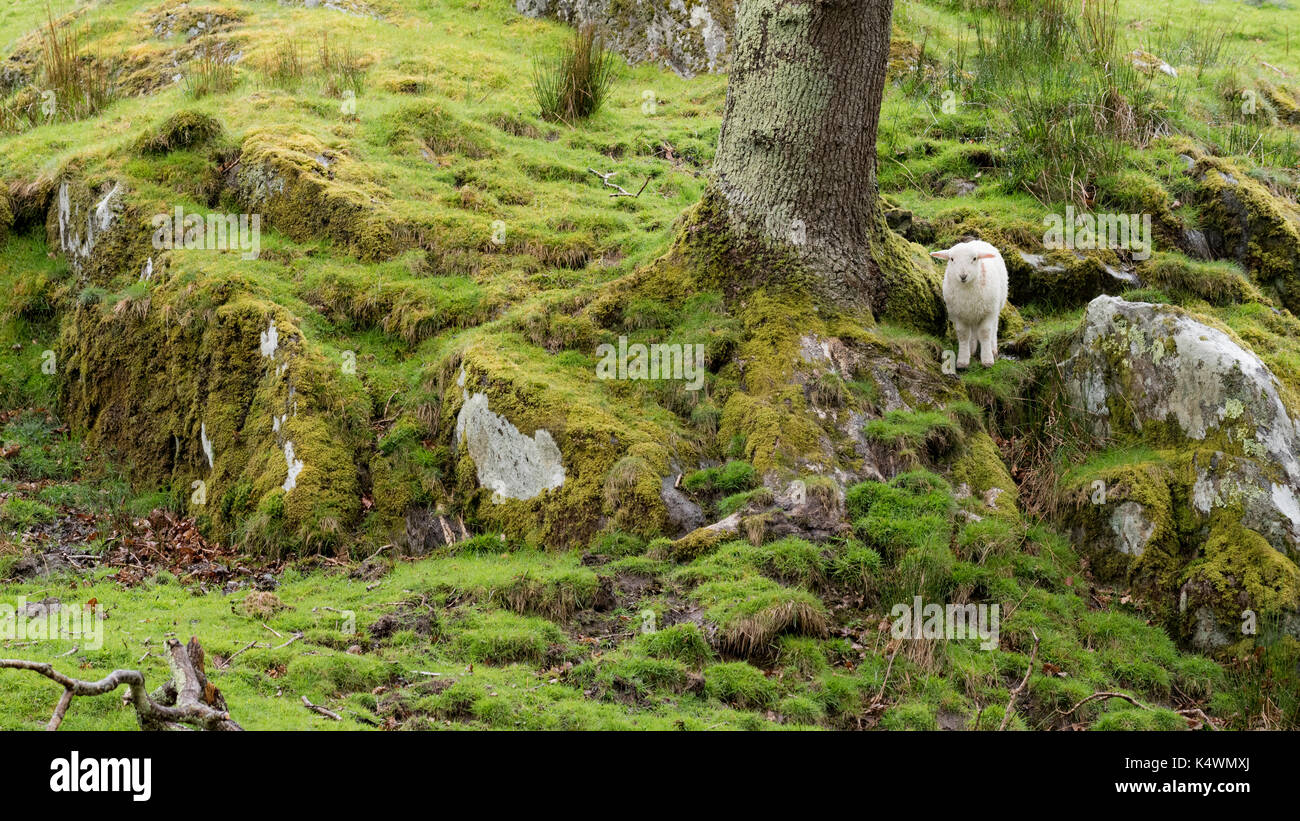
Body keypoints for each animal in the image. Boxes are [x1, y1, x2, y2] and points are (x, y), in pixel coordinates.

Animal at [931, 240, 1008, 369]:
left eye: (974, 258)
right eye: (951, 259)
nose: (963, 276)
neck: (967, 291)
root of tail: (978, 241)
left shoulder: (988, 312)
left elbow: (985, 333)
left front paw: (987, 359)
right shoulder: (959, 315)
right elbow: (963, 335)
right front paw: (963, 360)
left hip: (996, 306)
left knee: (993, 328)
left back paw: (993, 349)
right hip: (971, 314)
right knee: (972, 332)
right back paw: (971, 349)